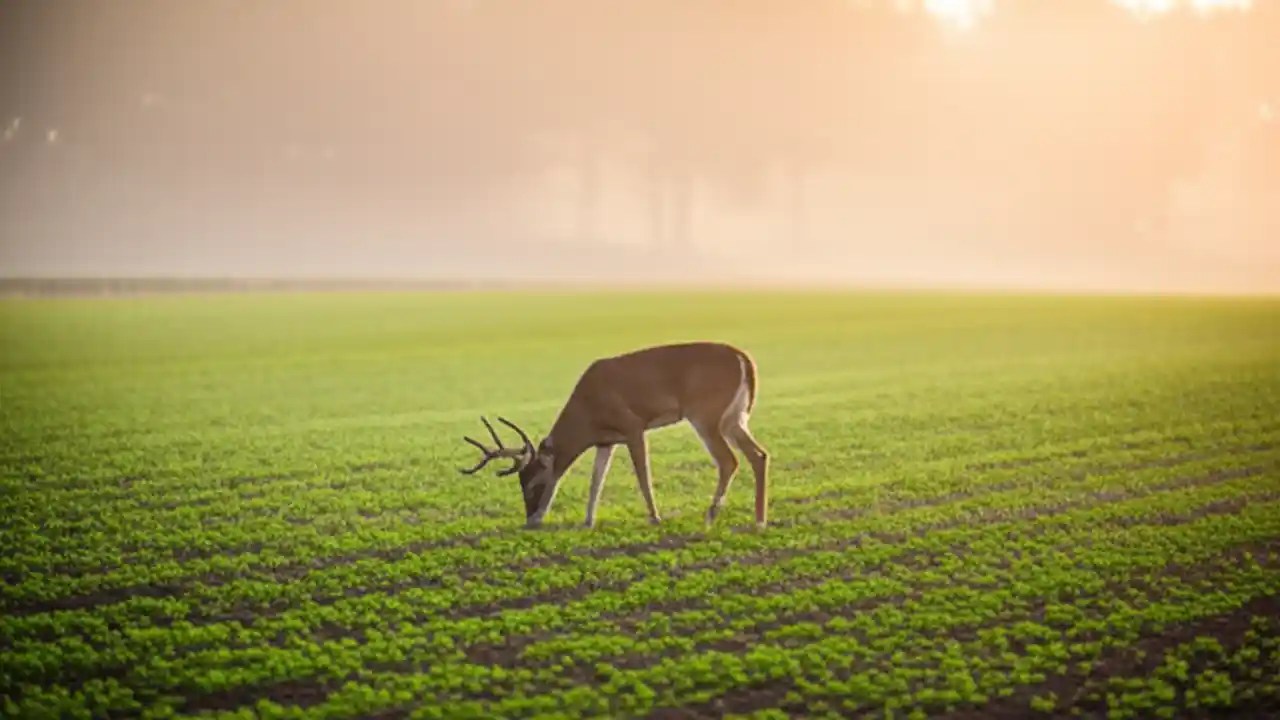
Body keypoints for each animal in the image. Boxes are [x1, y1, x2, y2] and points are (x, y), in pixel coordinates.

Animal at [458, 342, 770, 530]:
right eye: (521, 484)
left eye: (533, 483)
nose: (530, 520)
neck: (588, 409)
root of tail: (744, 359)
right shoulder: (605, 441)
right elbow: (596, 481)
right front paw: (587, 521)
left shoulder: (633, 426)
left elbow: (643, 475)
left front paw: (655, 517)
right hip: (733, 419)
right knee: (759, 455)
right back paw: (759, 520)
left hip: (706, 415)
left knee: (729, 460)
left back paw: (711, 515)